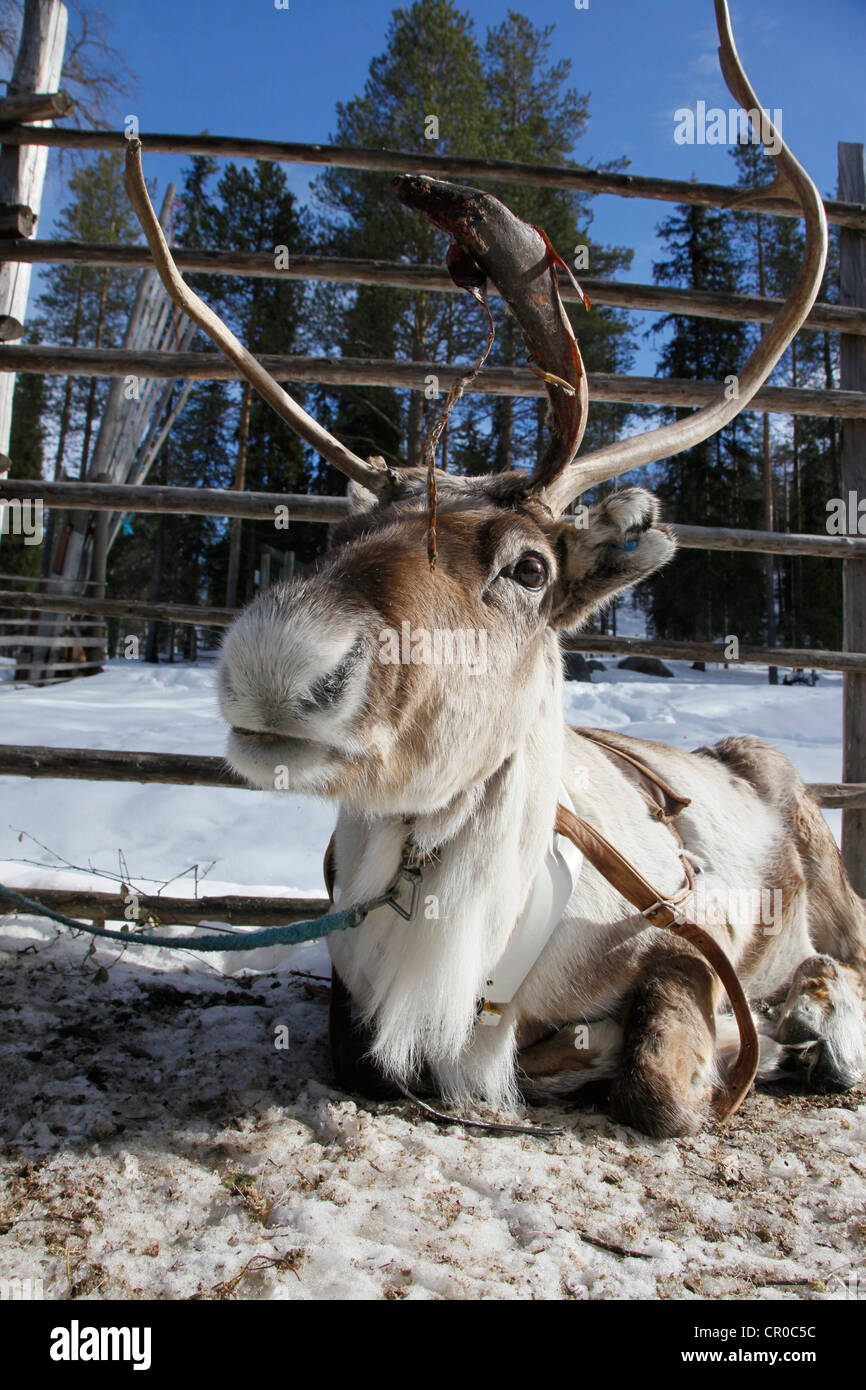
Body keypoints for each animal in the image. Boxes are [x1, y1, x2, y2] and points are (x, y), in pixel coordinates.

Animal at [125, 0, 866, 1138]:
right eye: (336, 540)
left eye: (526, 568)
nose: (277, 662)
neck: (447, 926)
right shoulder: (354, 1005)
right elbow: (371, 1058)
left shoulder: (682, 941)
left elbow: (658, 1084)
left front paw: (712, 1047)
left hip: (828, 874)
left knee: (844, 963)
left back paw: (816, 1023)